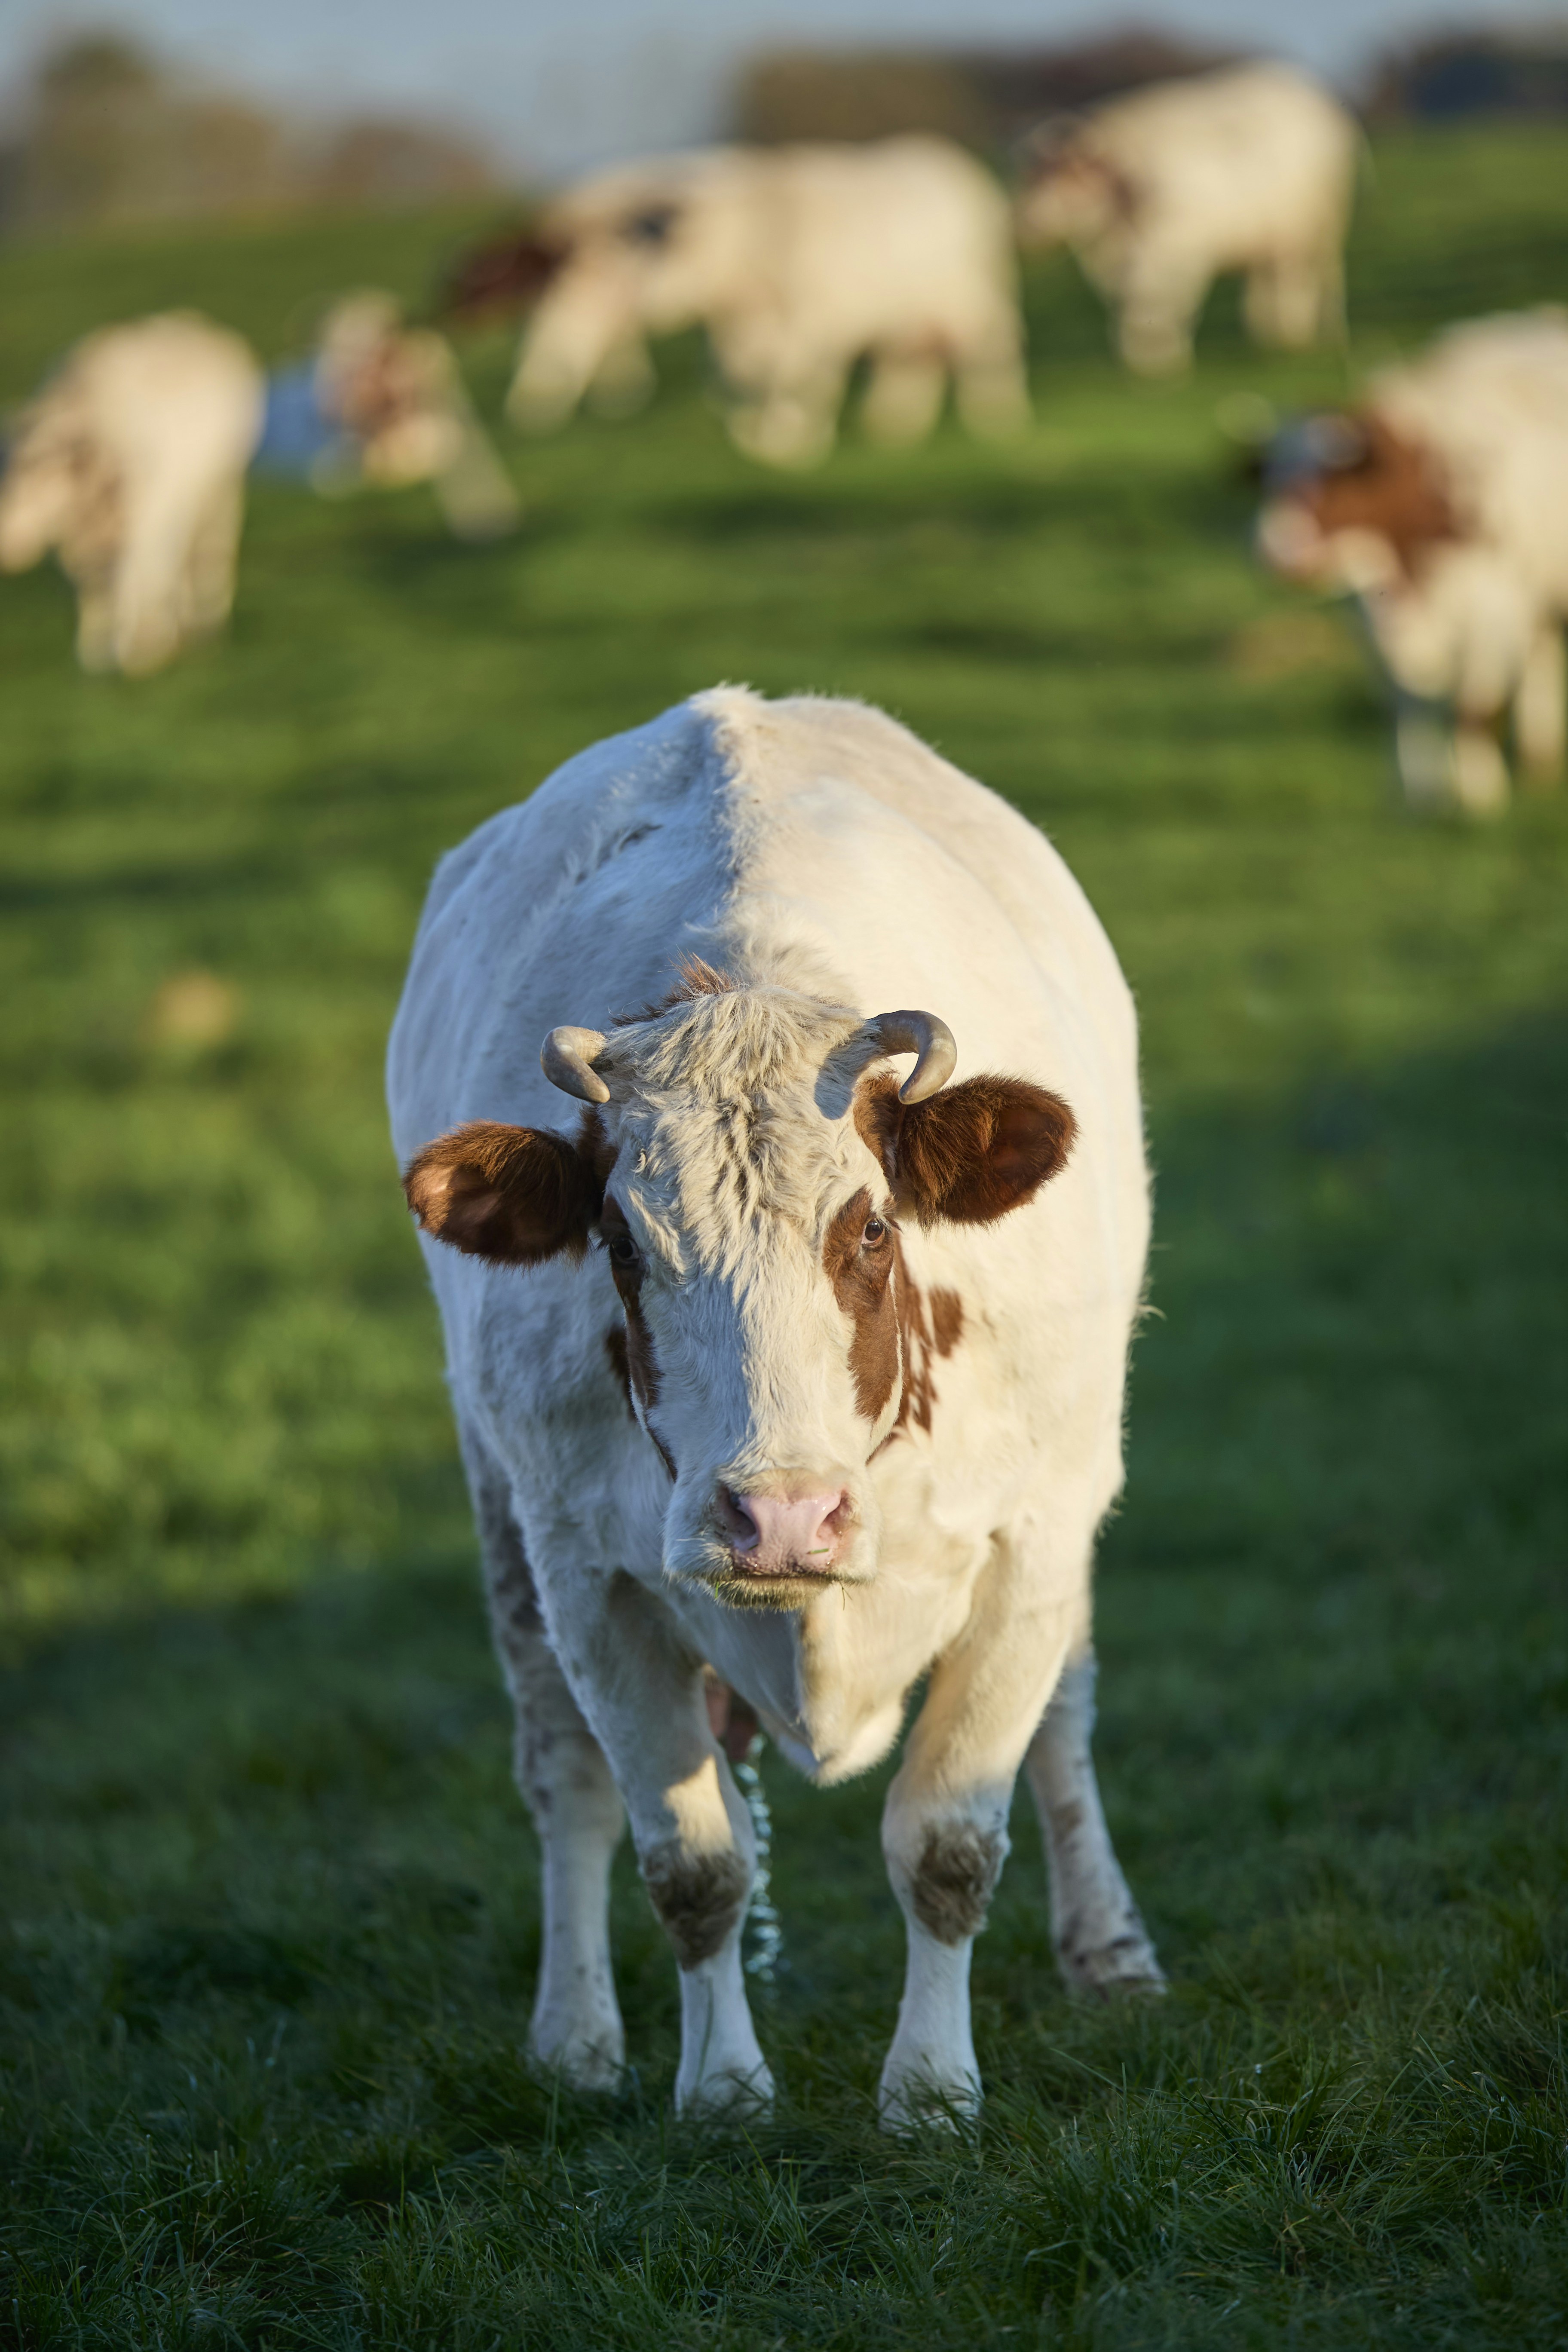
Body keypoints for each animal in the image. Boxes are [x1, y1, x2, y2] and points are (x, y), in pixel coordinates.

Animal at [0, 312, 263, 675]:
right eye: (10, 475)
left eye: (45, 477)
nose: (8, 544)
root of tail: (196, 321)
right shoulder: (92, 541)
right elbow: (98, 589)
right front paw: (95, 657)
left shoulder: (147, 517)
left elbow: (137, 578)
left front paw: (141, 653)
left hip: (220, 492)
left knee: (205, 557)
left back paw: (204, 625)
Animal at [387, 688, 1164, 2129]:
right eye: (619, 1243)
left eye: (869, 1229)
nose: (781, 1519)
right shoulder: (586, 1572)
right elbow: (691, 1862)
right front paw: (724, 2091)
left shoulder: (1034, 1536)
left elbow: (951, 1836)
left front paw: (929, 2092)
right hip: (503, 1513)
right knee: (562, 1773)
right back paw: (573, 2039)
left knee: (1065, 1729)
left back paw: (1113, 1956)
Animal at [492, 138, 1029, 467]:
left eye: (652, 238)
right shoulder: (738, 337)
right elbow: (745, 383)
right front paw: (772, 438)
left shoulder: (813, 322)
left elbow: (795, 380)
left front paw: (788, 444)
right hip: (912, 312)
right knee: (913, 360)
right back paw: (892, 426)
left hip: (980, 295)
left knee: (990, 347)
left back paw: (998, 417)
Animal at [1016, 63, 1359, 376]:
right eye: (1032, 177)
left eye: (1071, 176)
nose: (1028, 225)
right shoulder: (1115, 256)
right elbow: (1131, 297)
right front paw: (1139, 357)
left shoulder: (1180, 250)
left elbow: (1160, 295)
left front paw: (1162, 362)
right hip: (1272, 237)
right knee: (1271, 283)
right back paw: (1270, 334)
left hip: (1321, 228)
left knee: (1314, 277)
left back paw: (1315, 333)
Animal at [1255, 309, 1568, 814]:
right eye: (1270, 479)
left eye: (1337, 480)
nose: (1276, 552)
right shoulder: (1371, 615)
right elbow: (1407, 705)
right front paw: (1419, 796)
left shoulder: (1493, 607)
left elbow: (1474, 708)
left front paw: (1479, 797)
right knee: (1542, 654)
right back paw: (1540, 763)